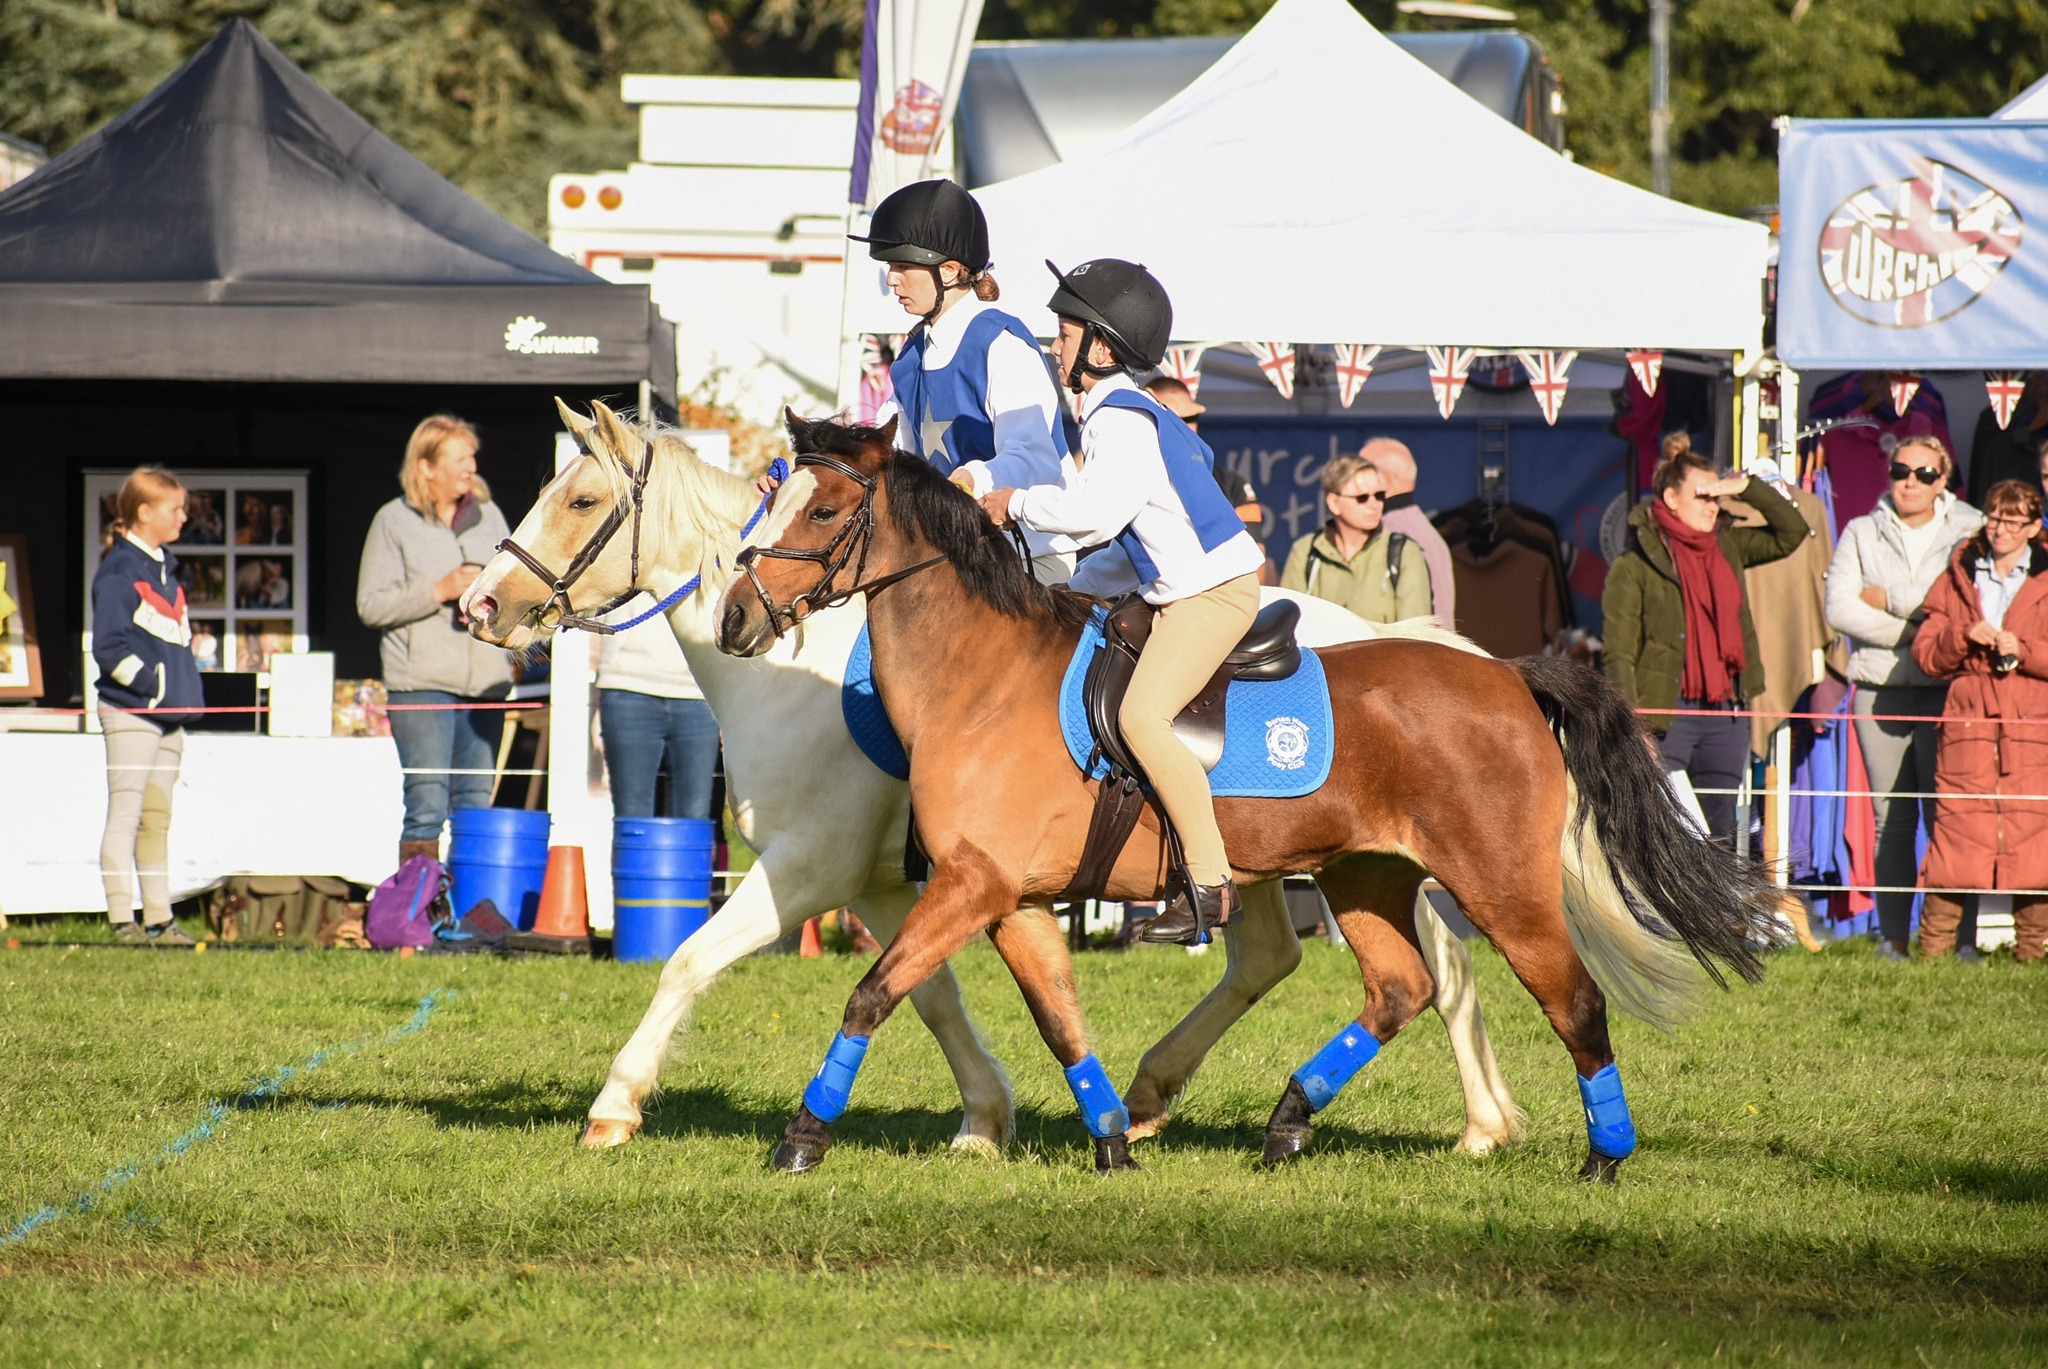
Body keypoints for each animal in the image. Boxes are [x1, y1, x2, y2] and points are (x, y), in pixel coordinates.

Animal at [461, 400, 1522, 1157]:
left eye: (581, 502)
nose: (480, 605)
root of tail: (1410, 639)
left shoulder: (810, 871)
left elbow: (690, 960)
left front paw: (614, 1104)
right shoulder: (892, 884)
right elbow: (928, 995)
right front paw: (985, 1115)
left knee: (1445, 969)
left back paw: (1483, 1123)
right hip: (1251, 862)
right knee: (1271, 958)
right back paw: (1151, 1094)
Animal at [714, 412, 1782, 1181]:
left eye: (819, 513)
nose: (732, 620)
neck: (980, 681)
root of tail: (1510, 675)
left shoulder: (970, 885)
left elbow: (872, 990)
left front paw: (802, 1137)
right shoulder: (1009, 896)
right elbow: (1059, 1019)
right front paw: (1111, 1138)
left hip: (1500, 886)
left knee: (1573, 1000)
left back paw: (1603, 1157)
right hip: (1366, 876)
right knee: (1401, 988)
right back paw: (1288, 1119)